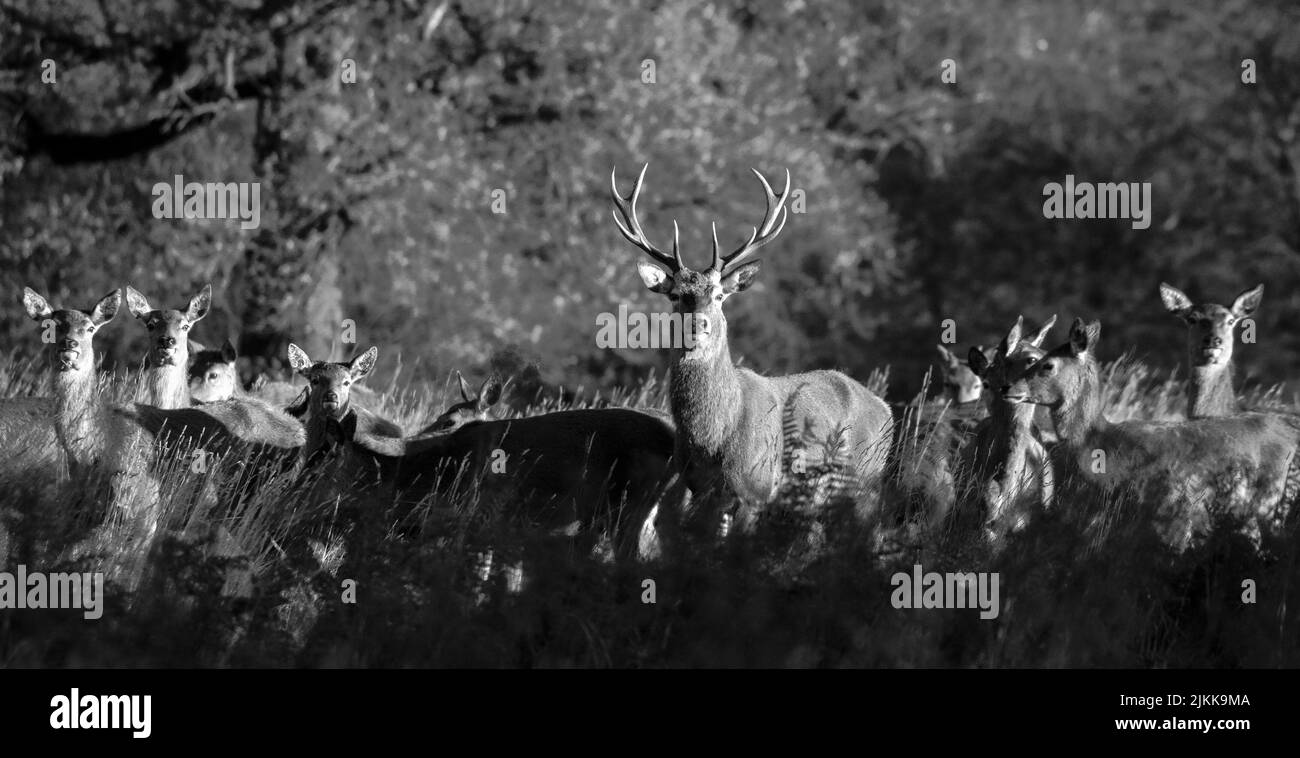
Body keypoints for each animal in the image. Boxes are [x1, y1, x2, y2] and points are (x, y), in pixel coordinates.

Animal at [610, 164, 893, 548]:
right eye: (676, 295)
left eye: (718, 295)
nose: (697, 326)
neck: (713, 437)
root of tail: (887, 409)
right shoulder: (698, 488)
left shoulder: (755, 488)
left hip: (867, 480)